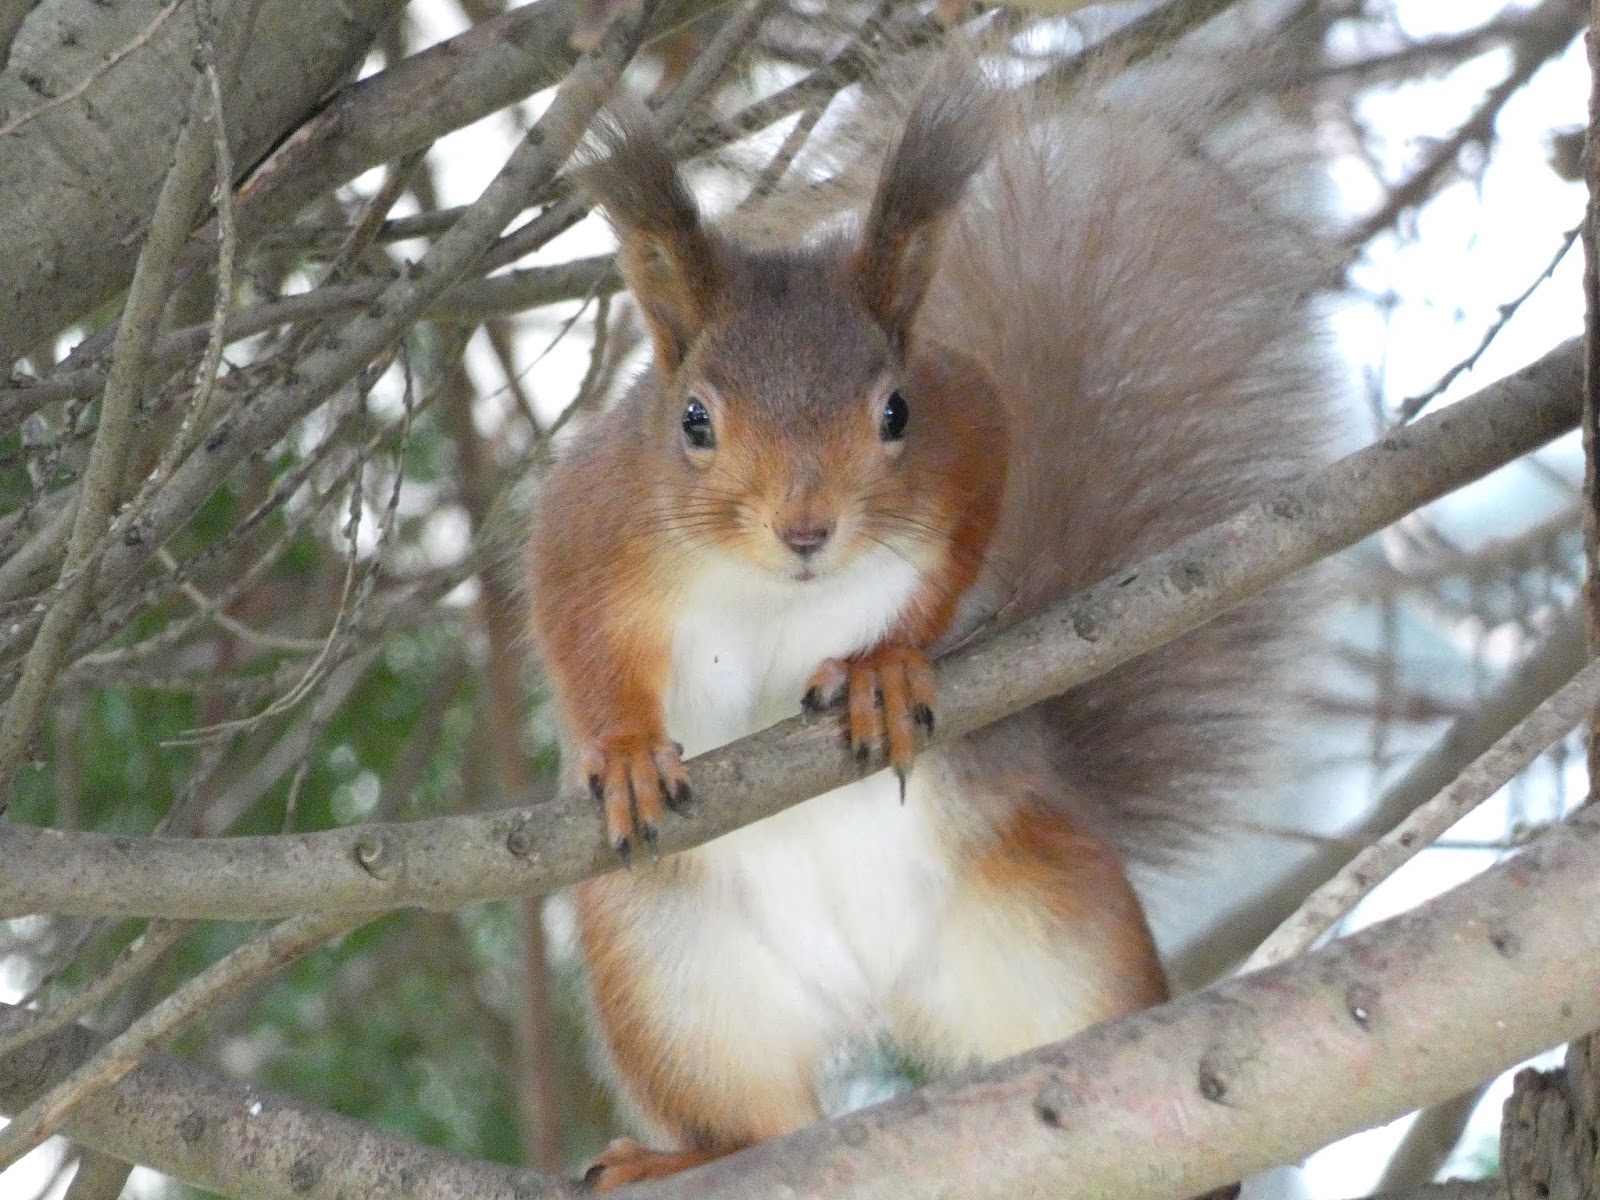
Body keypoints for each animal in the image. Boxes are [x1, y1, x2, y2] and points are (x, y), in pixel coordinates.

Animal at [526, 44, 1334, 1193]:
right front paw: (628, 748)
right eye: (693, 421)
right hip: (673, 979)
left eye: (895, 412)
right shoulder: (589, 522)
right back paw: (680, 1158)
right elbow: (574, 632)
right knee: (757, 1124)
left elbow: (956, 555)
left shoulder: (970, 432)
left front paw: (888, 666)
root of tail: (875, 990)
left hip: (1053, 922)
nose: (807, 527)